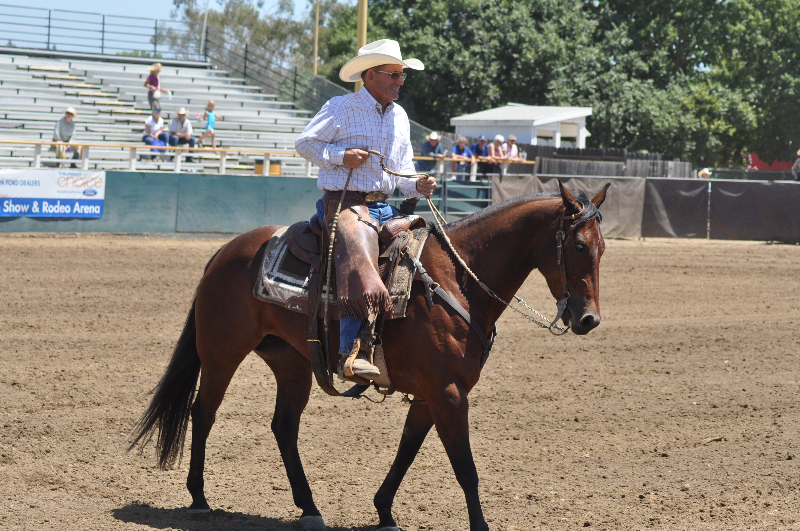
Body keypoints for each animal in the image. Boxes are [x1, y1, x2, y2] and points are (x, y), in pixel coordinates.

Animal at [129, 181, 609, 531]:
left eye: (602, 248)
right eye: (578, 246)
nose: (588, 319)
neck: (457, 283)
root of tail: (226, 251)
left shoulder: (431, 395)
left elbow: (407, 451)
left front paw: (383, 511)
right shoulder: (449, 393)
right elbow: (465, 468)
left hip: (291, 363)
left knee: (283, 426)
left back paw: (310, 509)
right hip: (221, 355)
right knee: (203, 412)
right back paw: (198, 498)